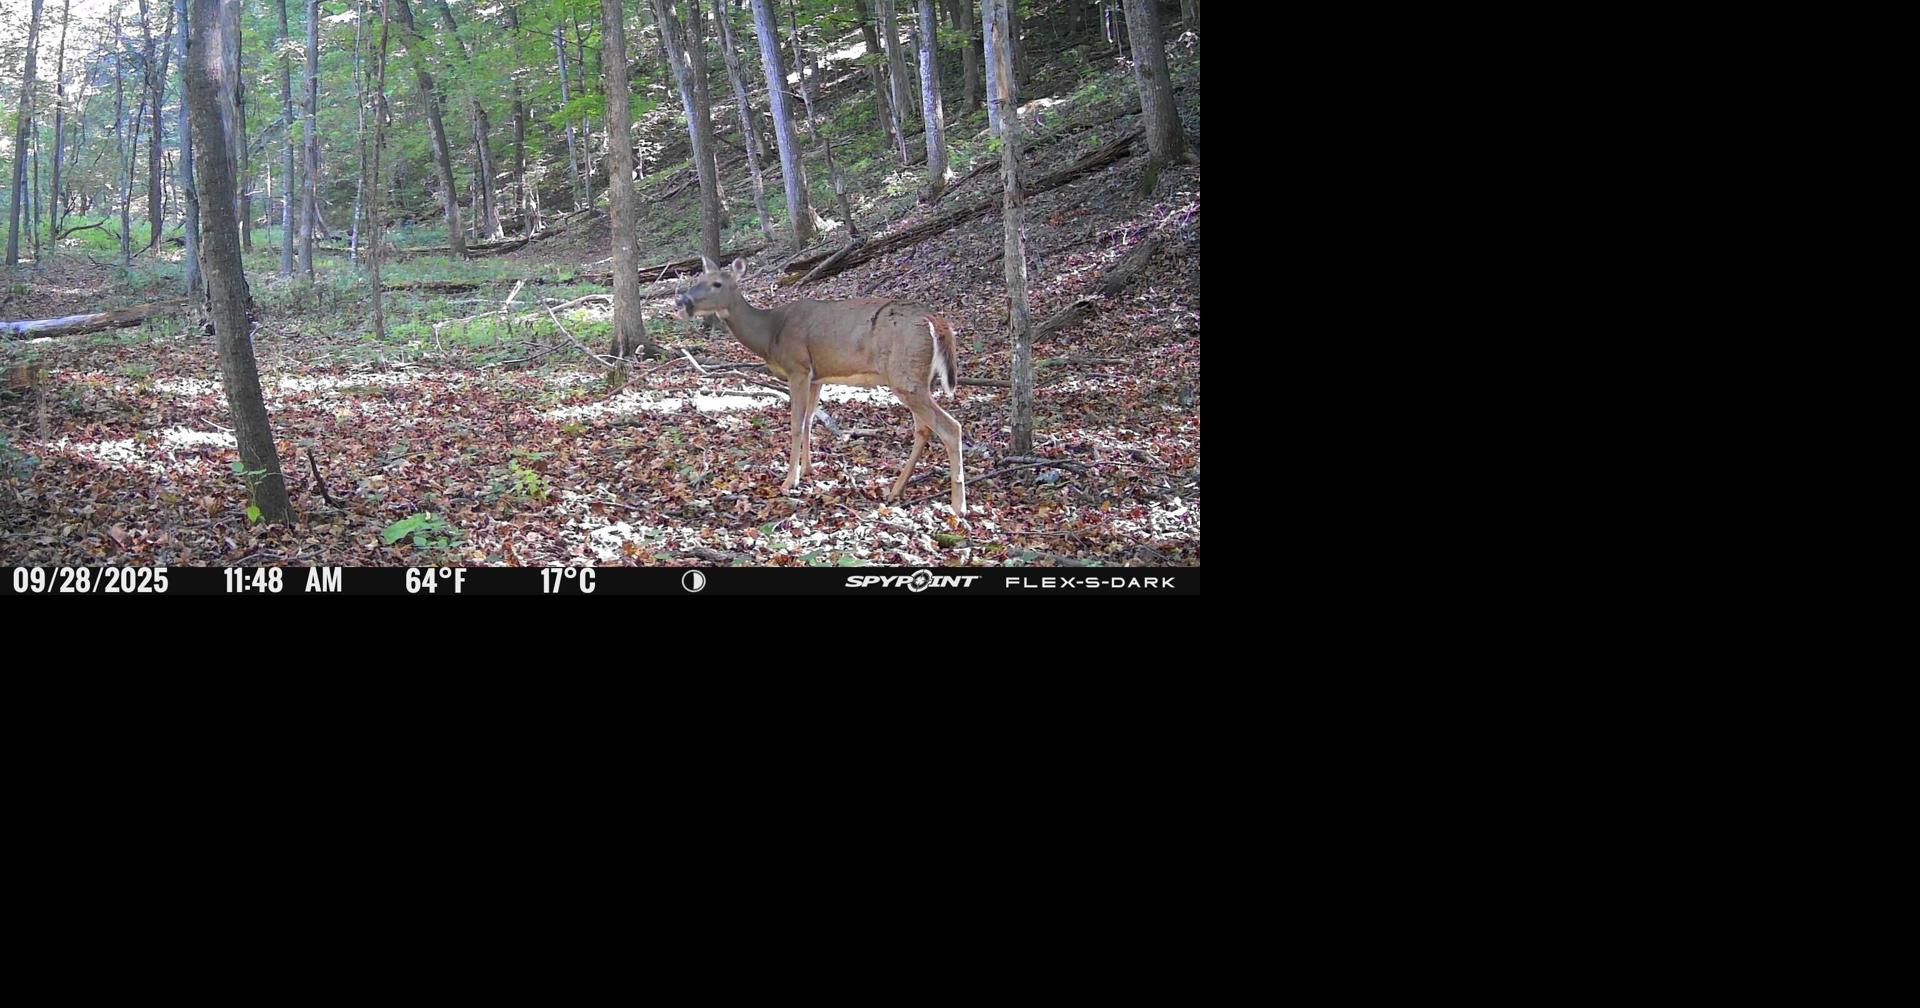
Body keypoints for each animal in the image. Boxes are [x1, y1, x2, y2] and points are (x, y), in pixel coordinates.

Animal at [674, 256, 967, 515]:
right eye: (698, 279)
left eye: (717, 284)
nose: (683, 300)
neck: (769, 335)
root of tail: (936, 322)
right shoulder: (817, 377)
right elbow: (809, 421)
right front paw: (807, 470)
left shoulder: (798, 368)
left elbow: (795, 424)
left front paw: (789, 481)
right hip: (915, 378)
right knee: (924, 429)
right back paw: (896, 490)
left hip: (904, 375)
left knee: (951, 427)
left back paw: (958, 506)